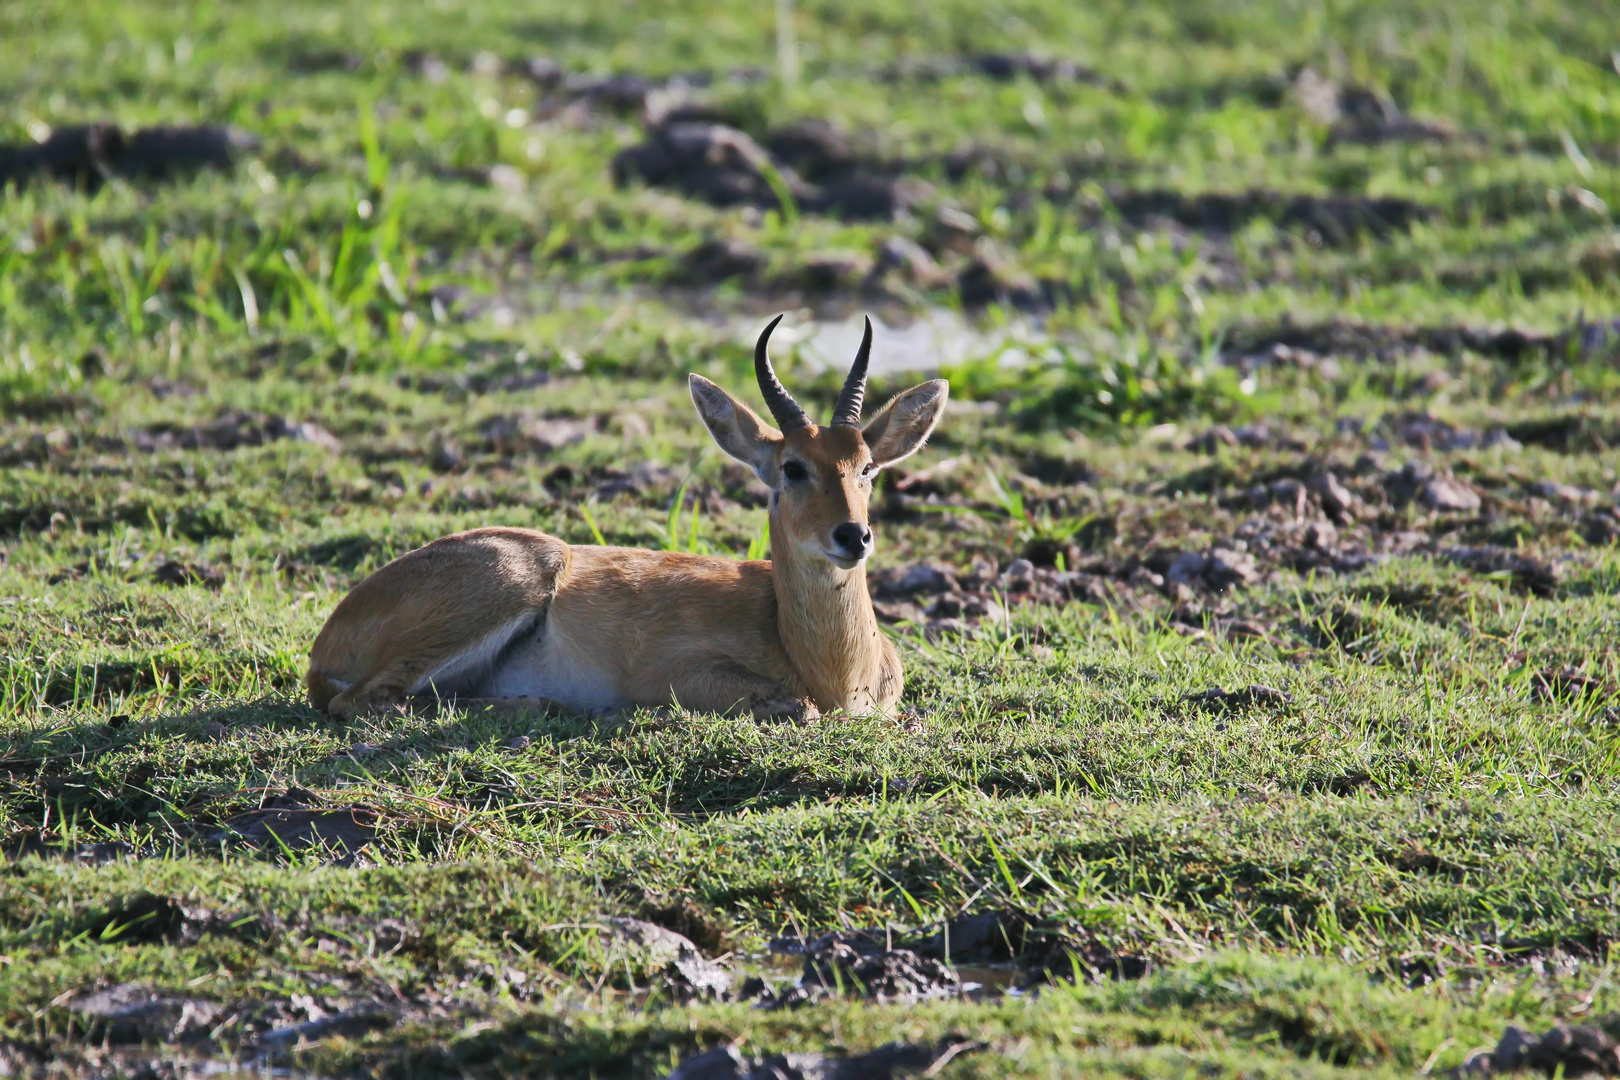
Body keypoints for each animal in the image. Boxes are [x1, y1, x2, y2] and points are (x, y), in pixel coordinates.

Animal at [306, 312, 946, 722]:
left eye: (867, 466)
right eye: (792, 468)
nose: (853, 535)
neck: (832, 667)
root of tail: (328, 638)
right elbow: (798, 706)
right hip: (514, 578)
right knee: (363, 699)